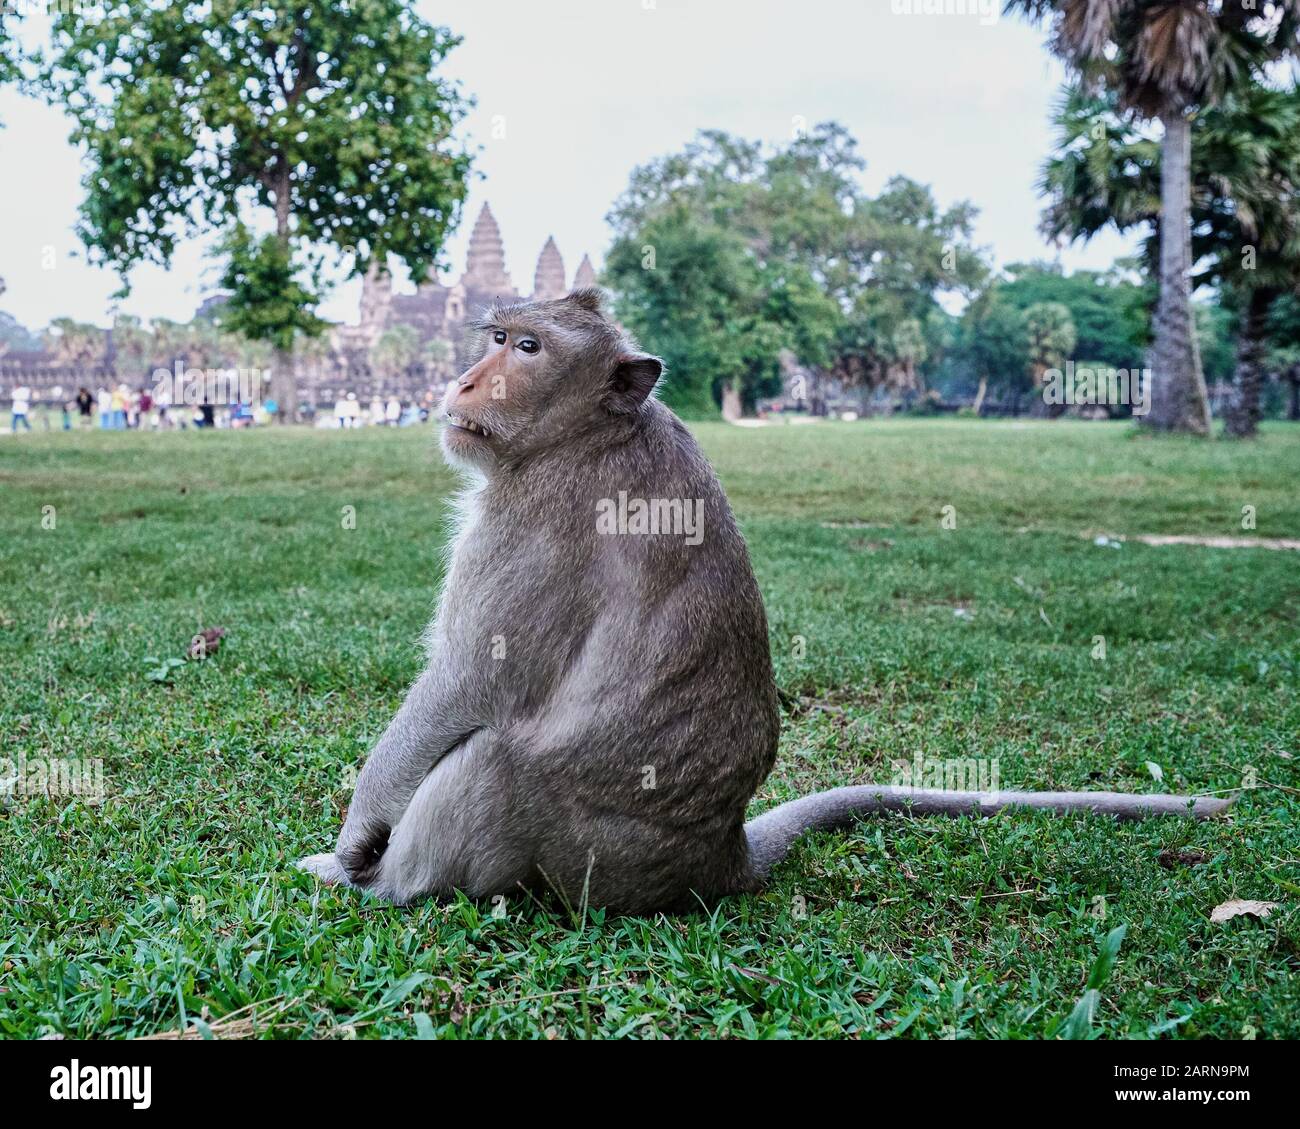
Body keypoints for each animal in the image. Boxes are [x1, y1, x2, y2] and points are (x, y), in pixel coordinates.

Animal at [298, 288, 1231, 913]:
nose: (464, 381)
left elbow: (470, 679)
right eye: (495, 336)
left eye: (525, 347)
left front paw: (357, 835)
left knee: (492, 758)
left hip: (587, 854)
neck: (588, 430)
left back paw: (379, 887)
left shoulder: (527, 522)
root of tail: (722, 852)